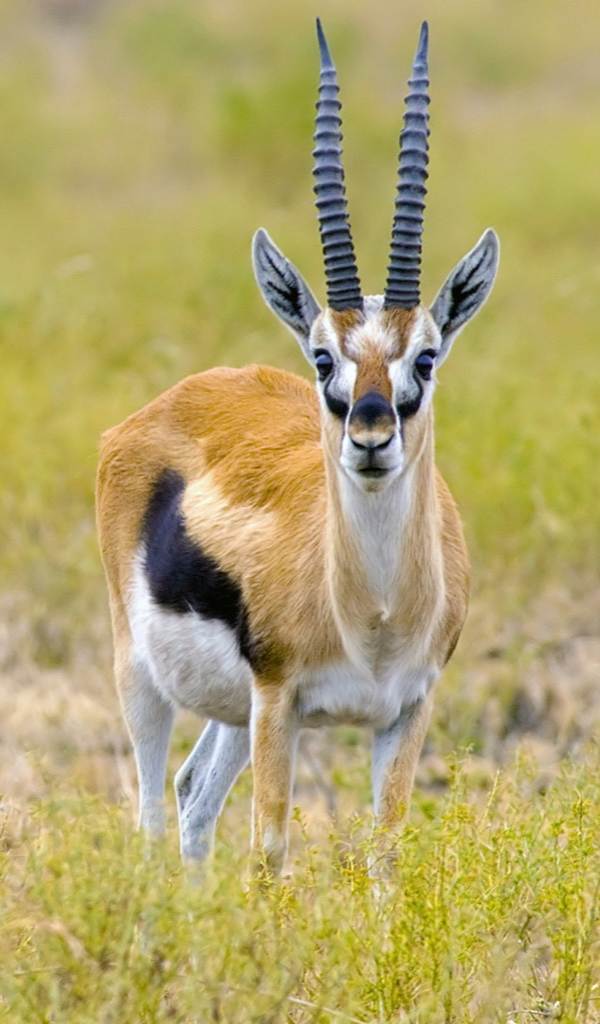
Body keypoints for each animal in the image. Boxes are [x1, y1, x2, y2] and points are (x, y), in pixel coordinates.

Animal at [96, 20, 499, 874]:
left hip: (230, 712)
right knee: (150, 813)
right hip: (144, 676)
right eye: (322, 358)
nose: (371, 434)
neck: (373, 614)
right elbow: (270, 854)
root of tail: (164, 404)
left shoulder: (405, 712)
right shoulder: (280, 700)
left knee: (191, 794)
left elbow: (385, 856)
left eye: (426, 357)